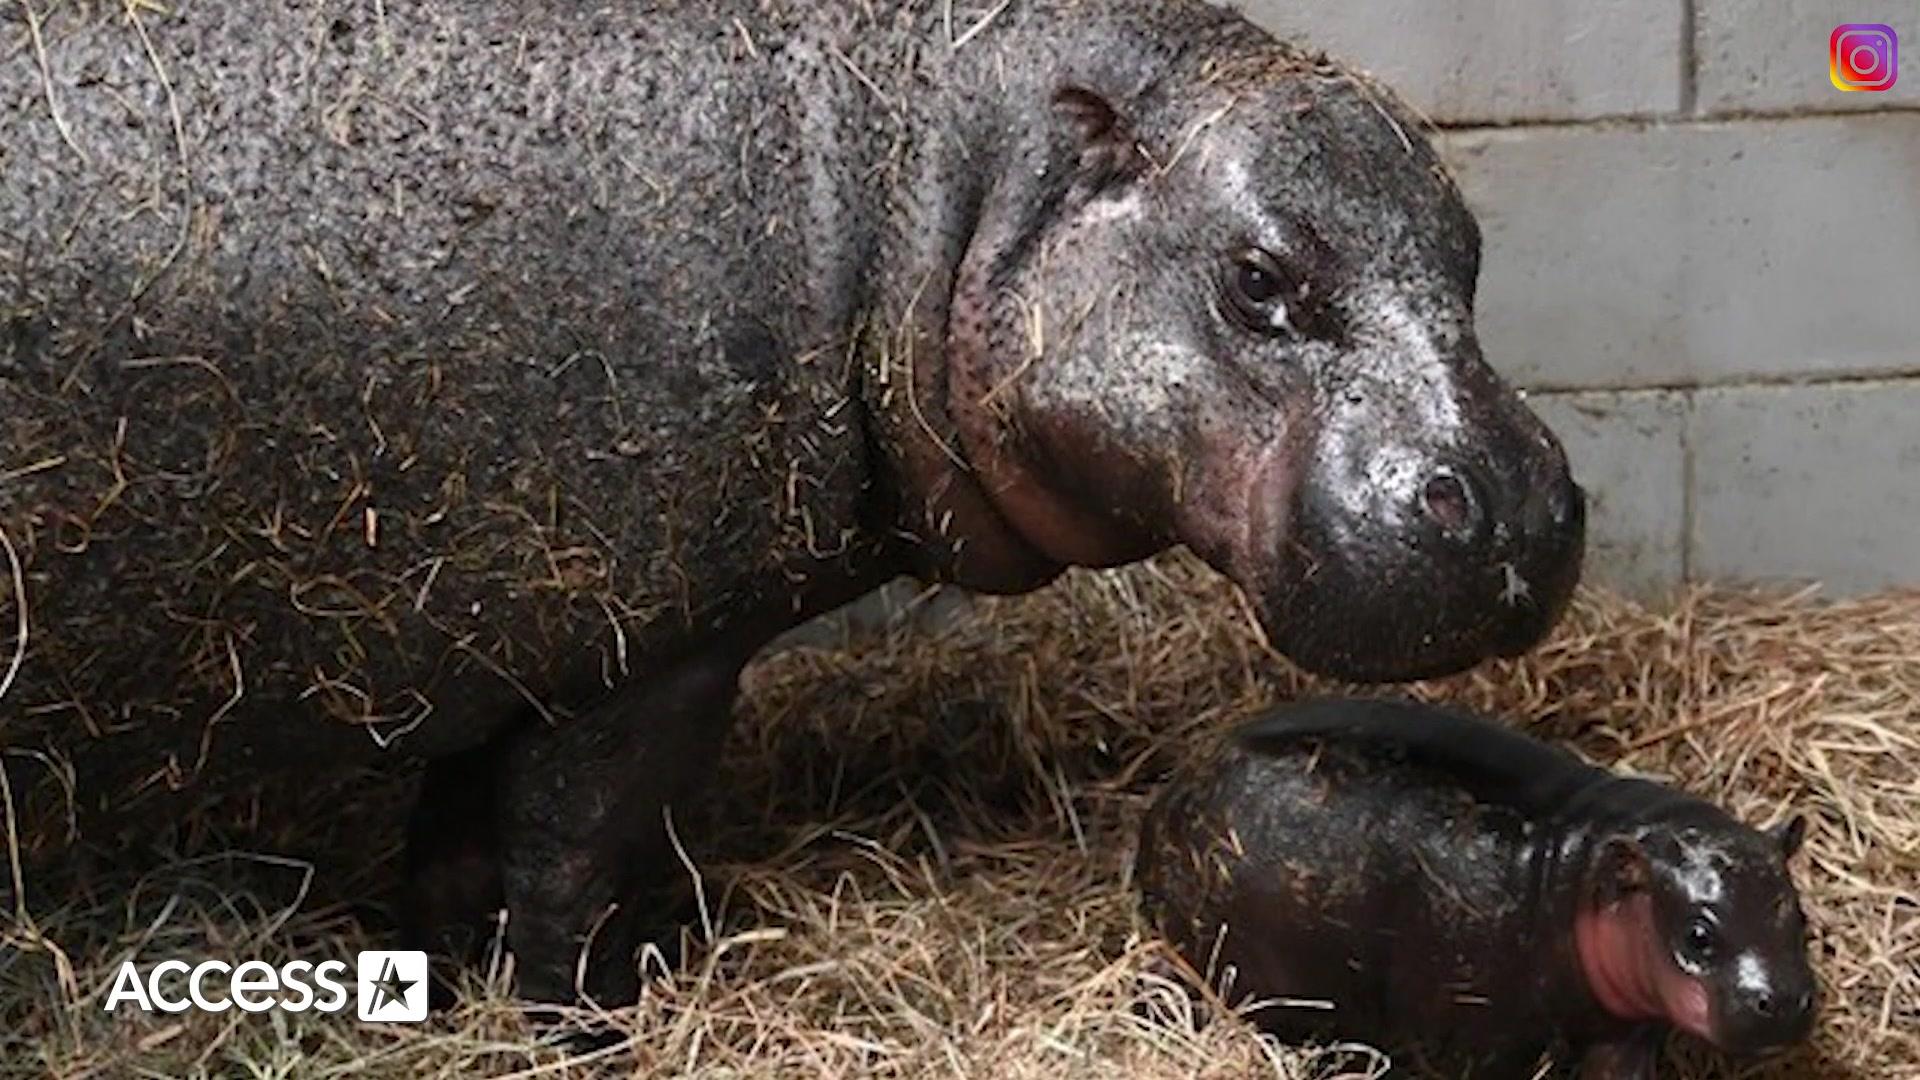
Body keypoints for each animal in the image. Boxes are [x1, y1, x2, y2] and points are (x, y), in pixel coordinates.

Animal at [1, 1, 1582, 1001]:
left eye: (1471, 245)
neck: (939, 175)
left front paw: (457, 974)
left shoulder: (508, 629)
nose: (1514, 503)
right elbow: (569, 854)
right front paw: (586, 1012)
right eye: (1258, 279)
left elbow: (459, 841)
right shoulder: (642, 648)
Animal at [1137, 699, 1818, 1078]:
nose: (1784, 1000)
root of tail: (1174, 791)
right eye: (1699, 934)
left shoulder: (1624, 1028)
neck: (1583, 877)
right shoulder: (1487, 1032)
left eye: (1801, 920)